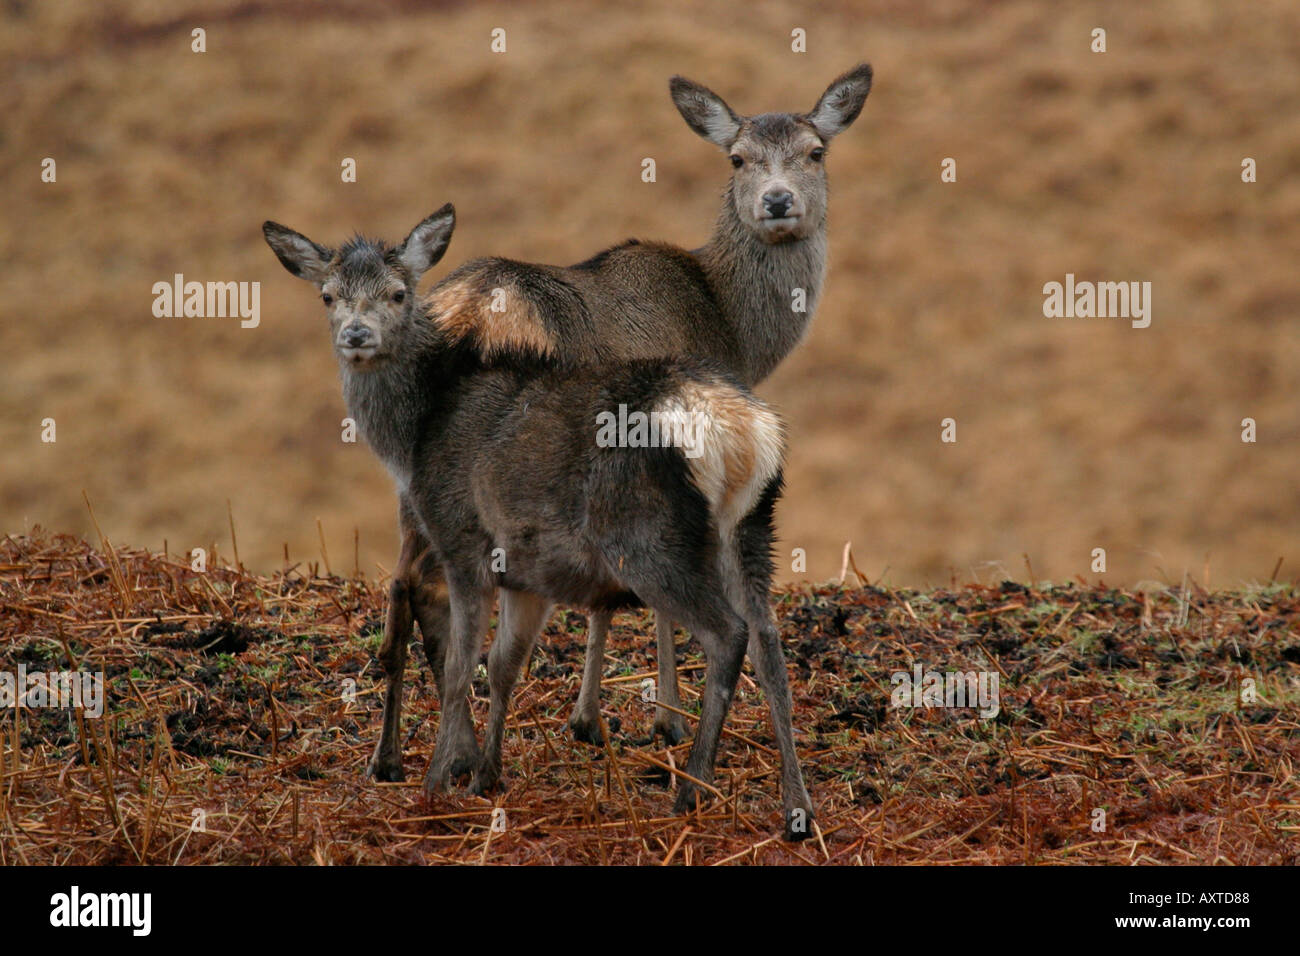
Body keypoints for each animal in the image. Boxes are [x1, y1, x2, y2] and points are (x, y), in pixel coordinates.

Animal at [261, 206, 816, 839]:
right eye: (327, 295)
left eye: (399, 293)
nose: (356, 335)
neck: (421, 425)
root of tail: (745, 435)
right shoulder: (524, 568)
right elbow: (503, 662)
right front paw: (483, 774)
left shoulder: (465, 539)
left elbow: (462, 664)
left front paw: (437, 783)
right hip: (751, 529)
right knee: (770, 643)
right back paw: (794, 805)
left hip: (647, 539)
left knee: (728, 634)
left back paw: (690, 789)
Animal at [418, 63, 874, 748]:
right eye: (737, 157)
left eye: (815, 151)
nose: (776, 201)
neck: (732, 328)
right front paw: (659, 717)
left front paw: (601, 715)